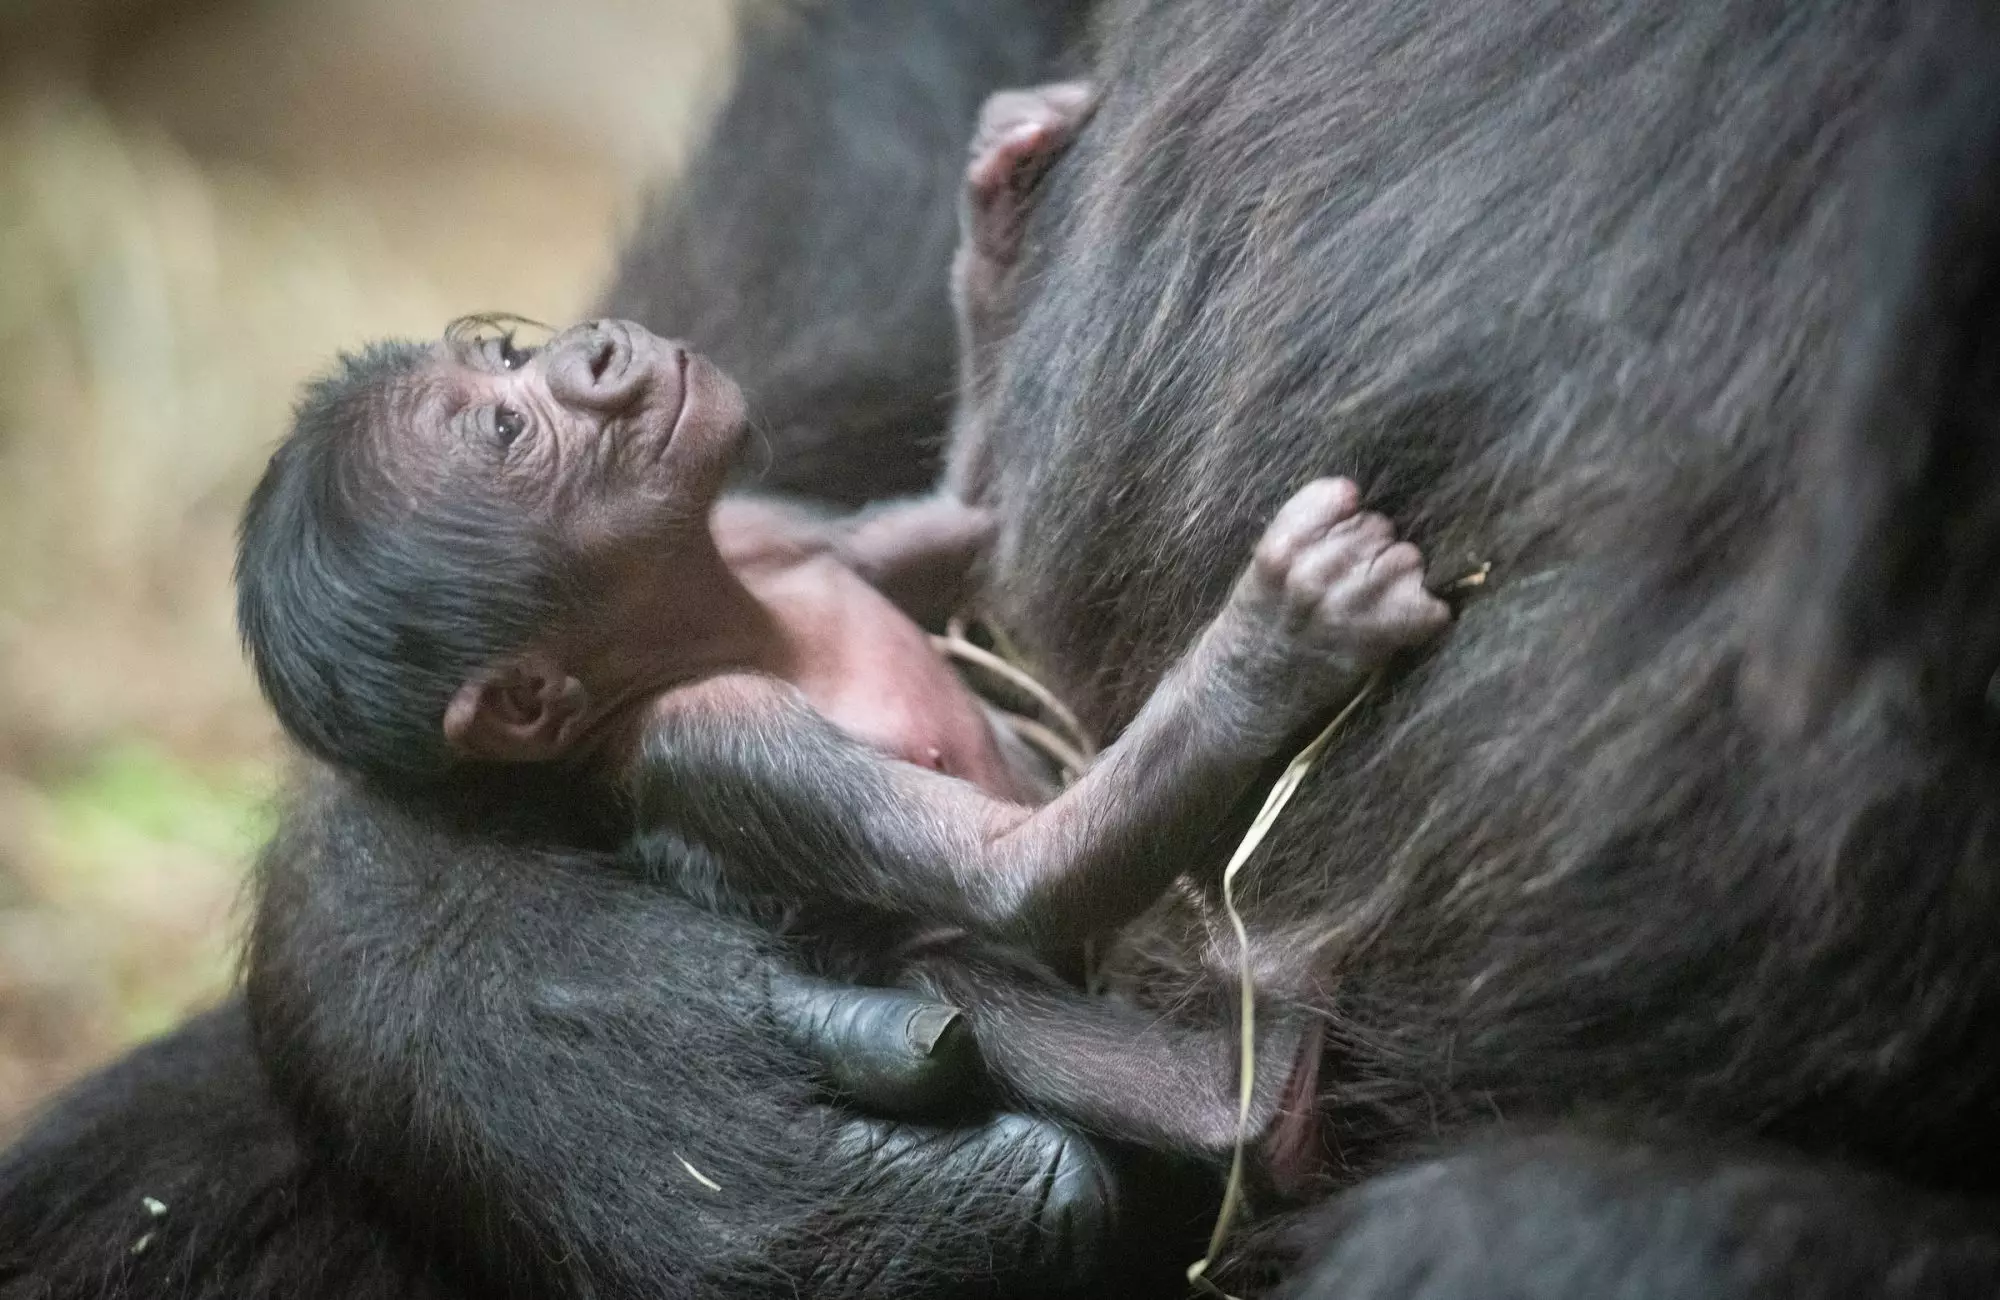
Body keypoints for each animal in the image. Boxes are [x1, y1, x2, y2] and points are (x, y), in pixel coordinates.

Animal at [242, 91, 1448, 1168]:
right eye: (508, 430)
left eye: (500, 357)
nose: (590, 351)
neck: (734, 617)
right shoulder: (720, 734)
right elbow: (1005, 874)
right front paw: (1275, 639)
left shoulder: (773, 535)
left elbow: (983, 515)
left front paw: (1000, 204)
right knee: (954, 969)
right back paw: (1250, 1097)